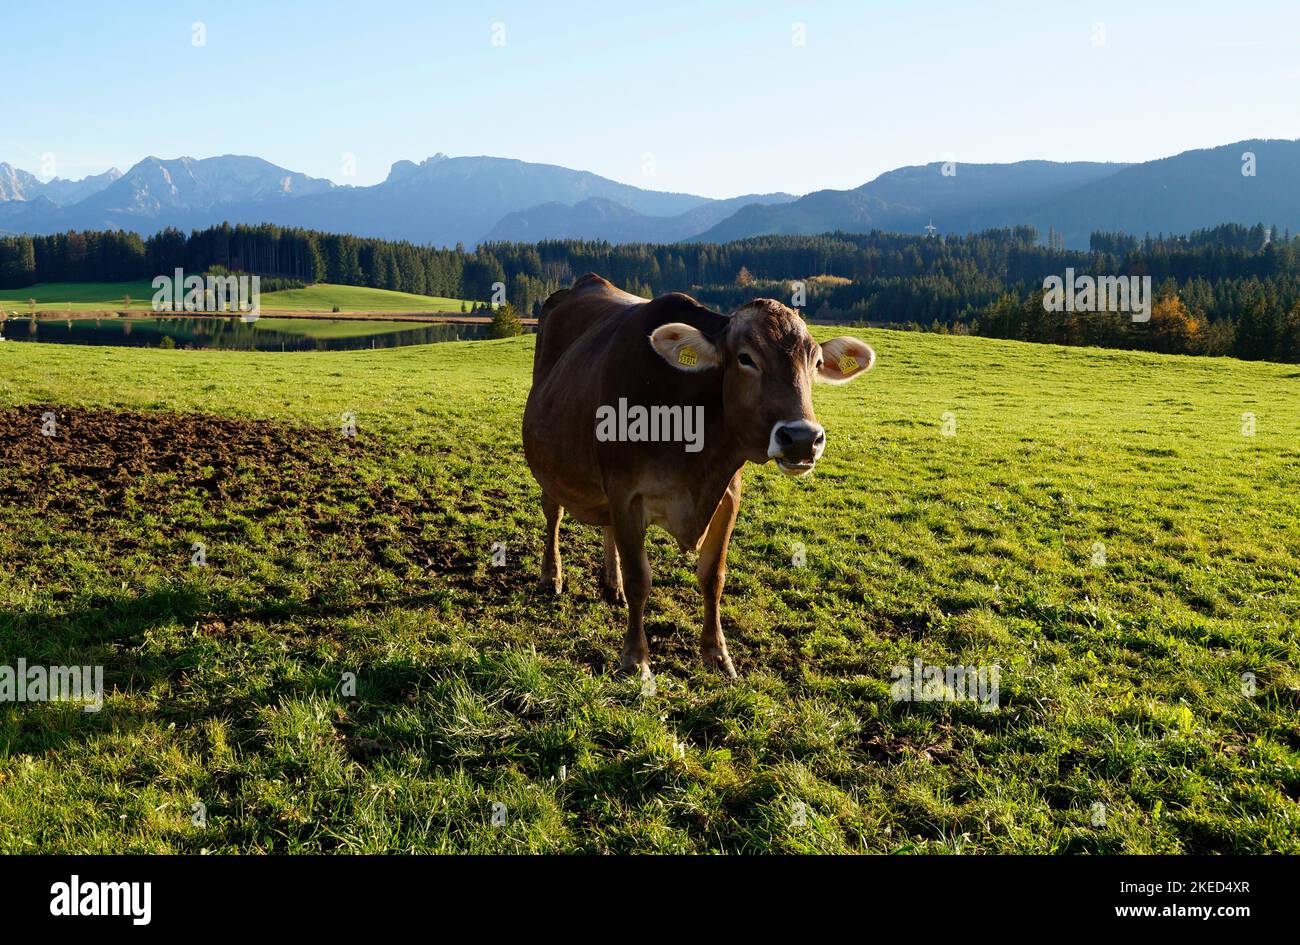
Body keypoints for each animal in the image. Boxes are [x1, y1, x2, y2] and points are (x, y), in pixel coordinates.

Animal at [522, 274, 875, 679]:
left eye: (815, 363)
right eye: (745, 358)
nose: (802, 438)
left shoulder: (727, 493)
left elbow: (713, 576)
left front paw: (716, 653)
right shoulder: (626, 493)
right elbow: (641, 578)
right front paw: (636, 658)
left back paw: (613, 585)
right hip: (548, 462)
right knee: (553, 513)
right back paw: (552, 576)